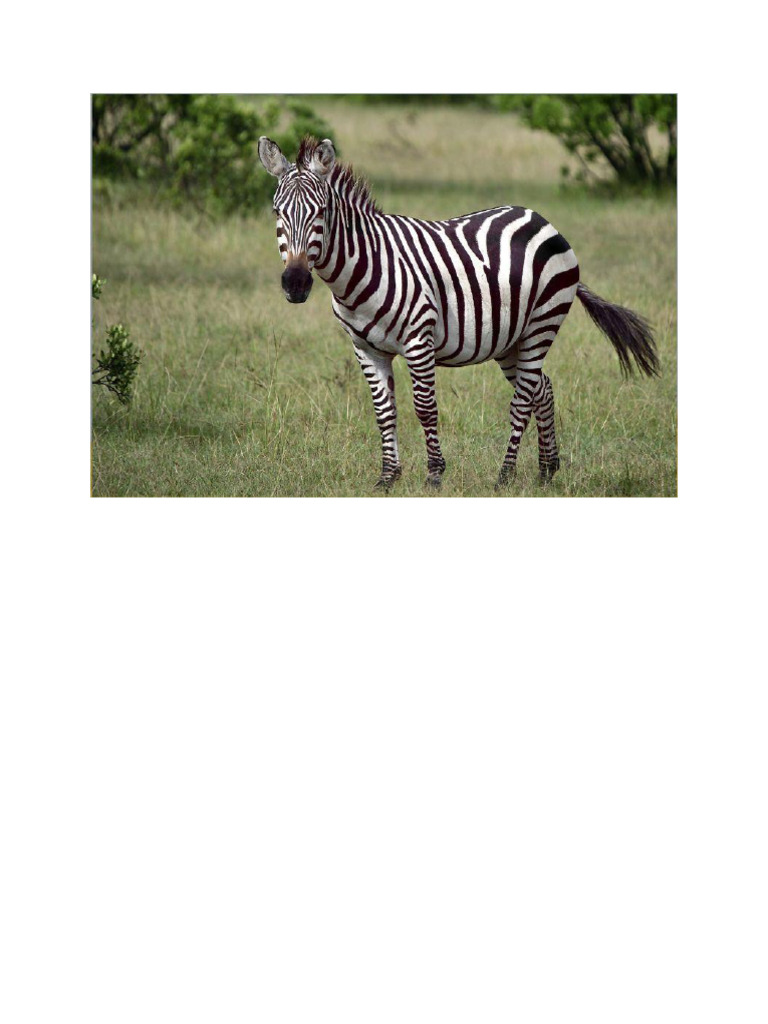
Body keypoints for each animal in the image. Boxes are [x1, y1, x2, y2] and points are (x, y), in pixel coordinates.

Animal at [257, 134, 659, 491]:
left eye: (321, 212)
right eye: (277, 212)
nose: (296, 283)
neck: (363, 266)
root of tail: (541, 218)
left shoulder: (419, 339)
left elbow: (425, 408)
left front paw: (434, 475)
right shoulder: (366, 348)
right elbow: (384, 412)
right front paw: (387, 478)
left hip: (541, 325)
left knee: (522, 400)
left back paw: (505, 476)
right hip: (509, 339)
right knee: (541, 388)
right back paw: (547, 470)